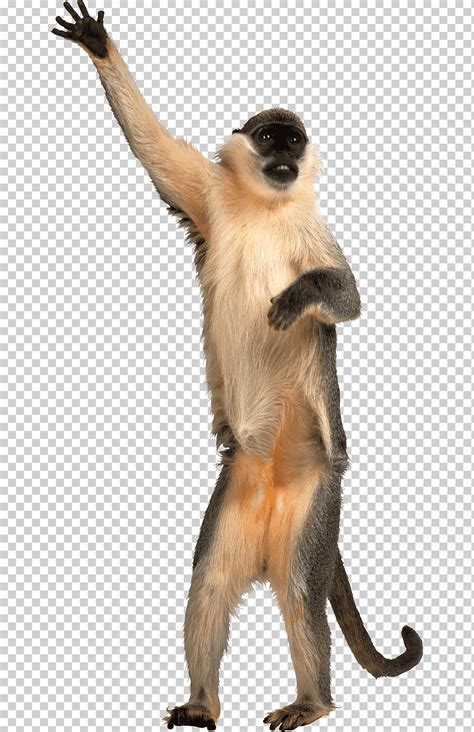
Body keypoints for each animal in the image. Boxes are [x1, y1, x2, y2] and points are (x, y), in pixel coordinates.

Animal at [52, 4, 423, 730]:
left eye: (294, 141)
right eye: (269, 137)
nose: (284, 158)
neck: (267, 207)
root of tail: (275, 473)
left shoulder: (312, 230)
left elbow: (348, 299)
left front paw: (298, 300)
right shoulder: (213, 197)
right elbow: (159, 157)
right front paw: (99, 47)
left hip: (318, 491)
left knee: (302, 587)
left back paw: (312, 702)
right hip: (239, 484)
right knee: (212, 582)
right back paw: (203, 704)